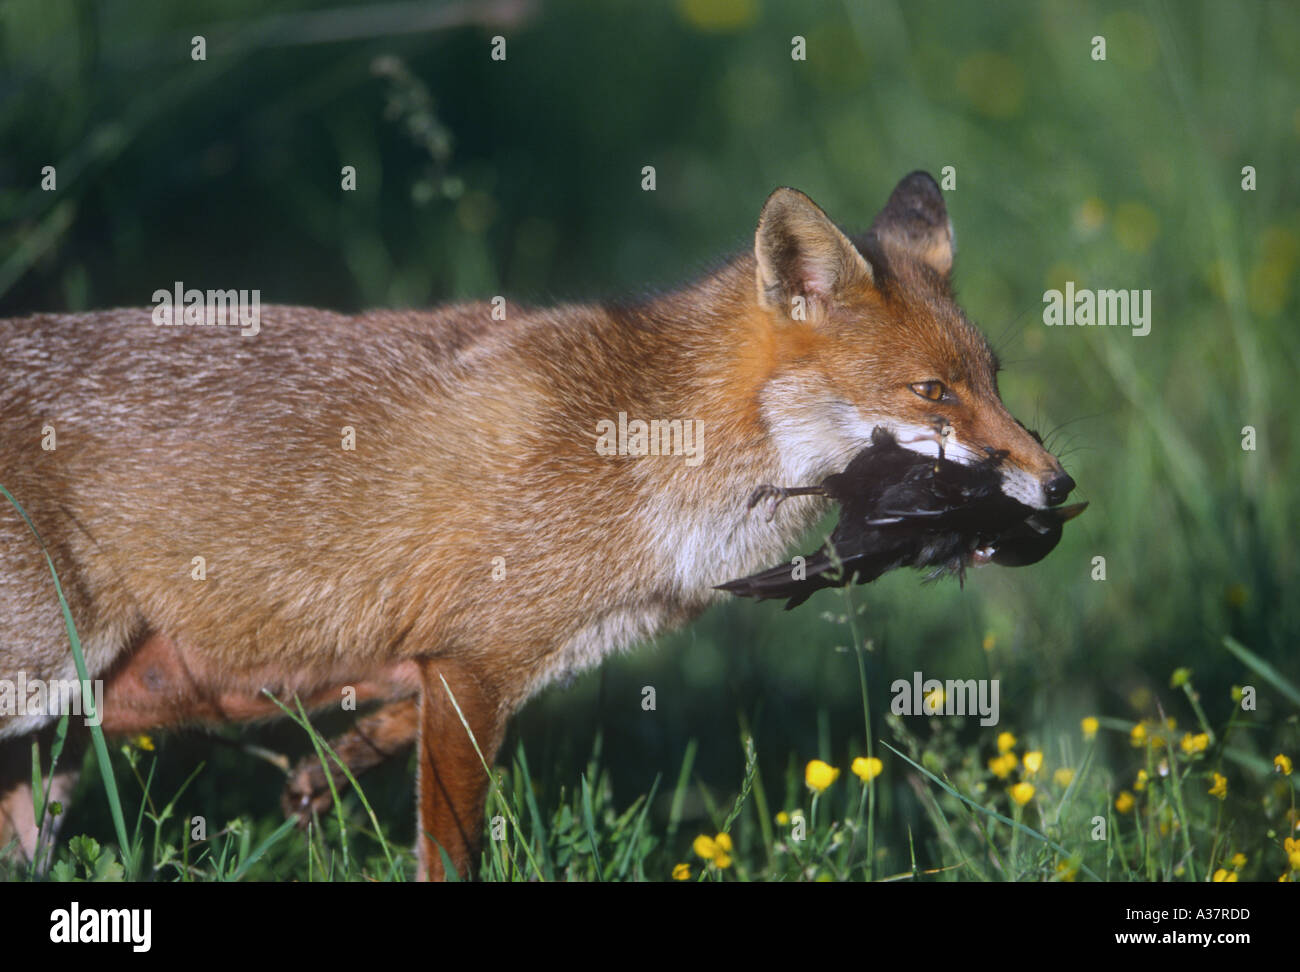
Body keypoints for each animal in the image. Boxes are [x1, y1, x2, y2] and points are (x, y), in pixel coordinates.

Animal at [0, 171, 1076, 879]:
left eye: (993, 380)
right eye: (932, 393)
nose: (1057, 484)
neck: (650, 454)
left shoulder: (470, 657)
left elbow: (372, 713)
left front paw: (323, 770)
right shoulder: (477, 666)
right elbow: (449, 849)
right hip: (36, 669)